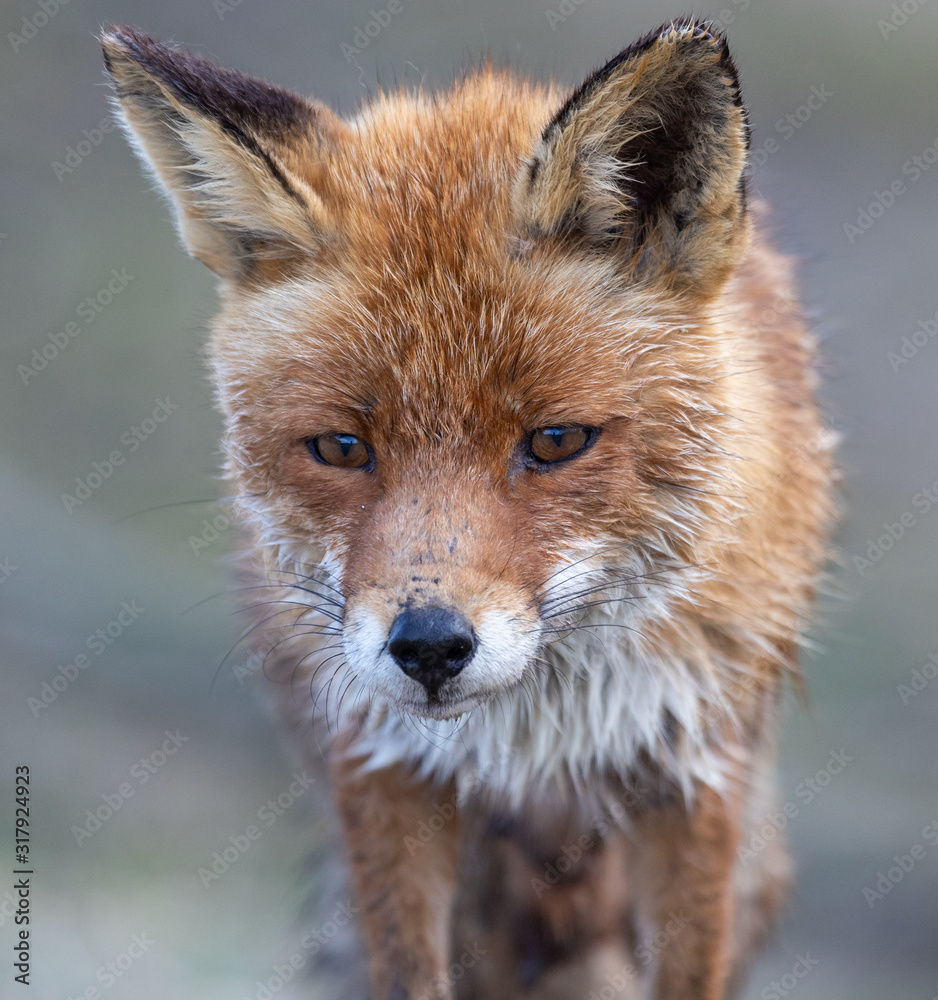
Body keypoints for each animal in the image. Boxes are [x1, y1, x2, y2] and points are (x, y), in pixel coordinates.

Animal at [102, 19, 834, 1000]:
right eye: (342, 448)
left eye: (556, 441)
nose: (428, 648)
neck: (536, 737)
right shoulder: (381, 769)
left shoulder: (694, 776)